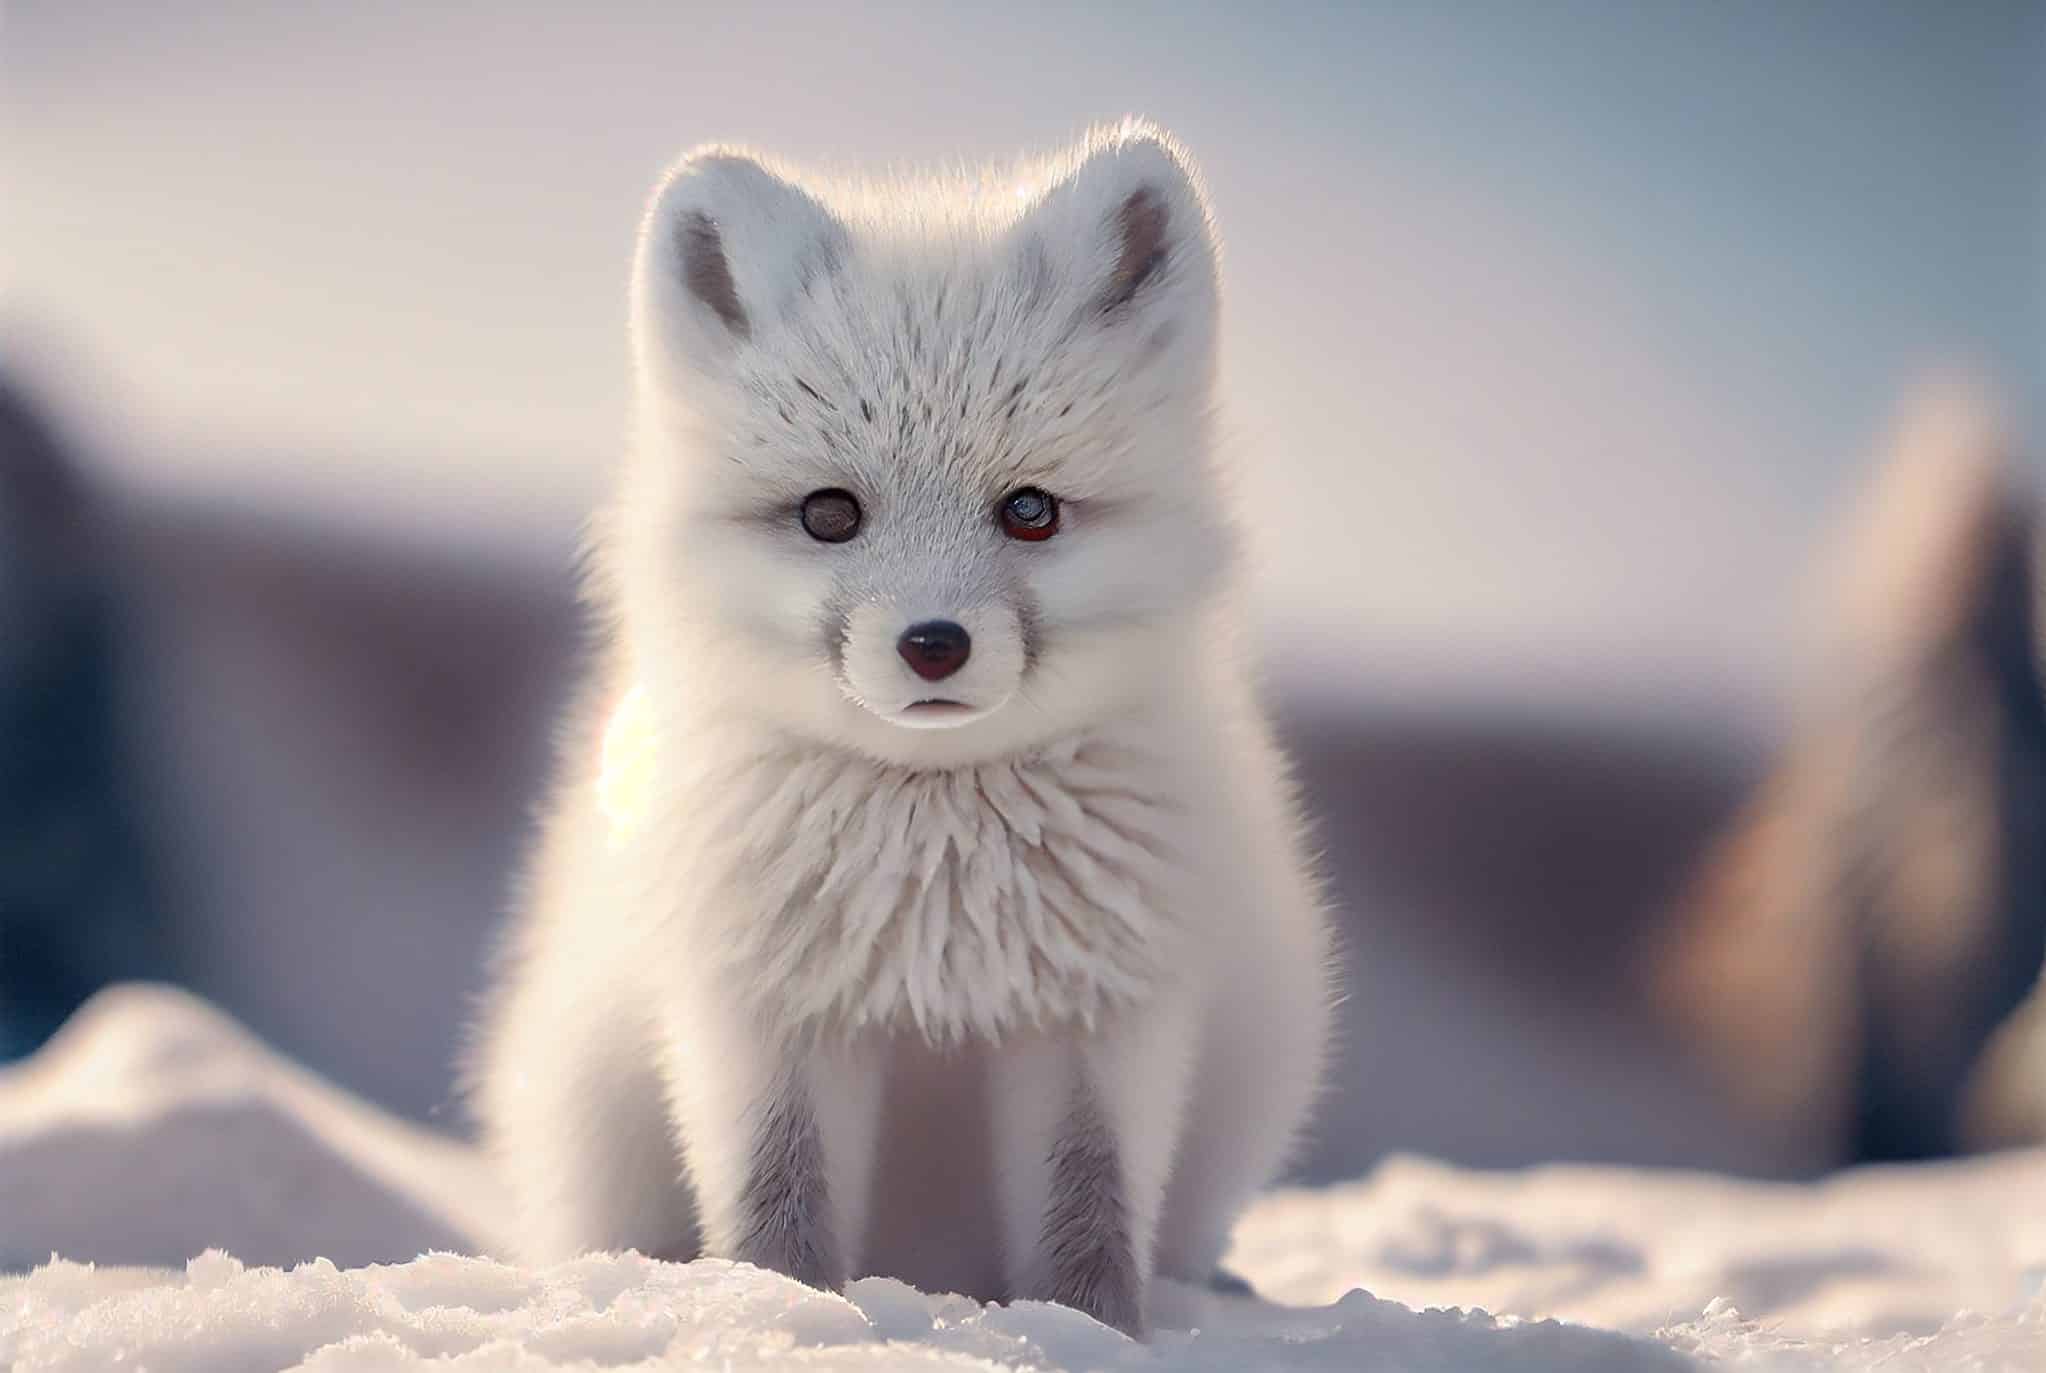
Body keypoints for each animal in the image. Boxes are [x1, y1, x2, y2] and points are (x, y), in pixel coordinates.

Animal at [468, 122, 1333, 1338]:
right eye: (831, 513)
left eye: (1031, 509)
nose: (934, 644)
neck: (938, 871)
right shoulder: (763, 1013)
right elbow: (777, 1209)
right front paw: (773, 1318)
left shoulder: (1100, 1015)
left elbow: (1091, 1208)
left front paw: (1095, 1334)